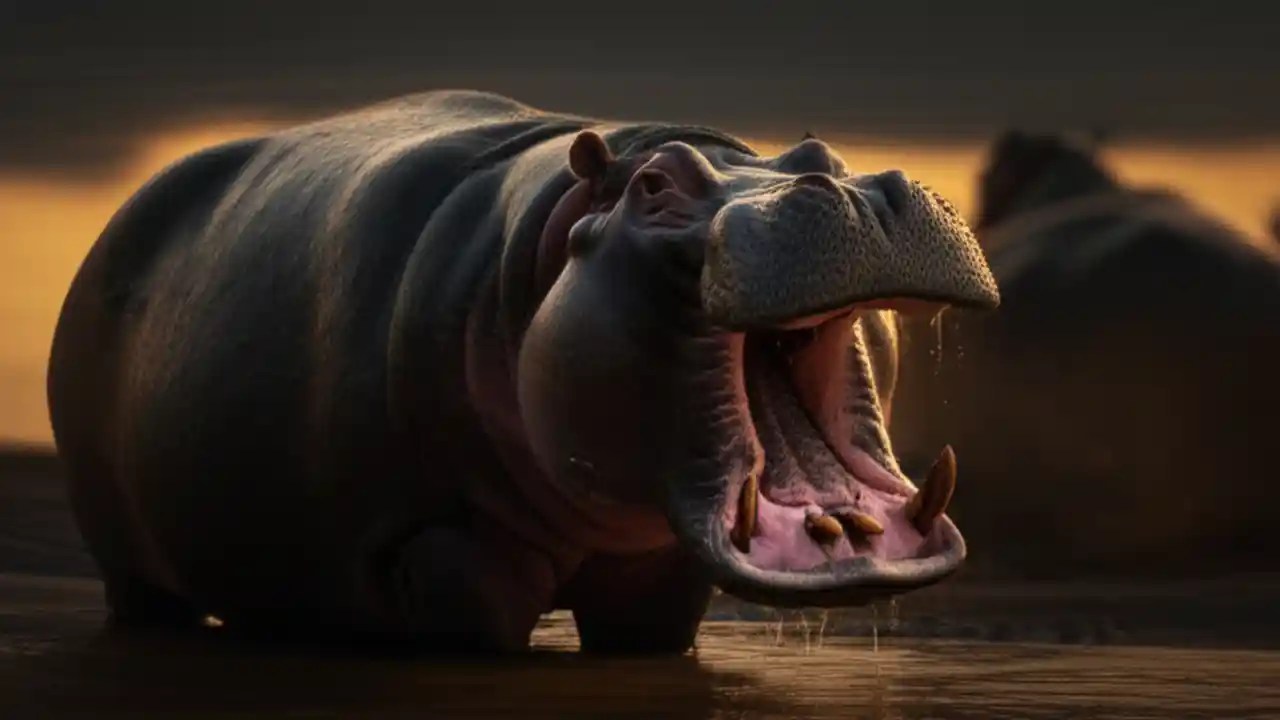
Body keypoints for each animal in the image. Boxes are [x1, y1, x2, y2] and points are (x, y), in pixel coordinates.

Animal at [47, 91, 998, 653]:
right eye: (656, 187)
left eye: (824, 155)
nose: (849, 191)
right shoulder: (442, 539)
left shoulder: (659, 572)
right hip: (125, 563)